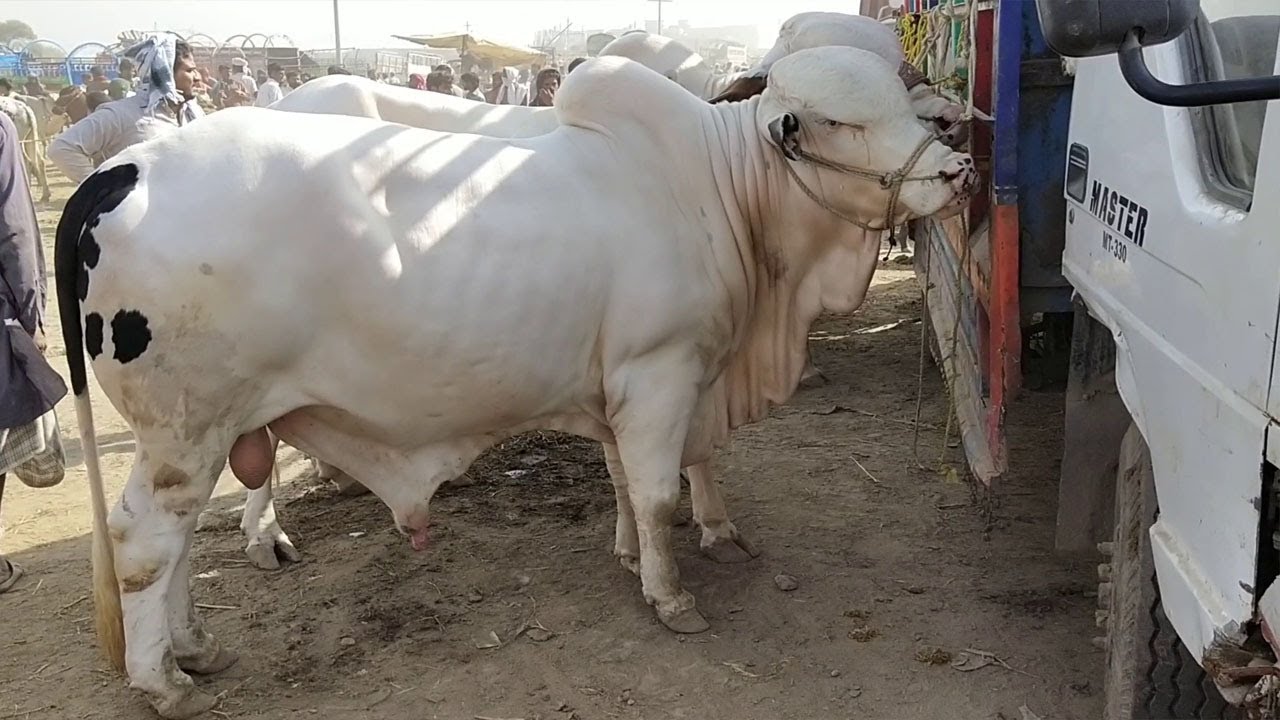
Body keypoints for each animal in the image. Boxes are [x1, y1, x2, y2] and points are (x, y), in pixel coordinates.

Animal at [57, 49, 975, 717]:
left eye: (913, 109)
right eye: (842, 121)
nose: (957, 169)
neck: (720, 190)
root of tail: (119, 170)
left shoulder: (618, 387)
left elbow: (622, 482)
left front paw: (629, 557)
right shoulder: (663, 371)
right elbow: (659, 495)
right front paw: (670, 593)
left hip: (205, 436)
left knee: (176, 548)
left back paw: (195, 647)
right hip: (186, 429)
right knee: (146, 542)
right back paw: (164, 679)